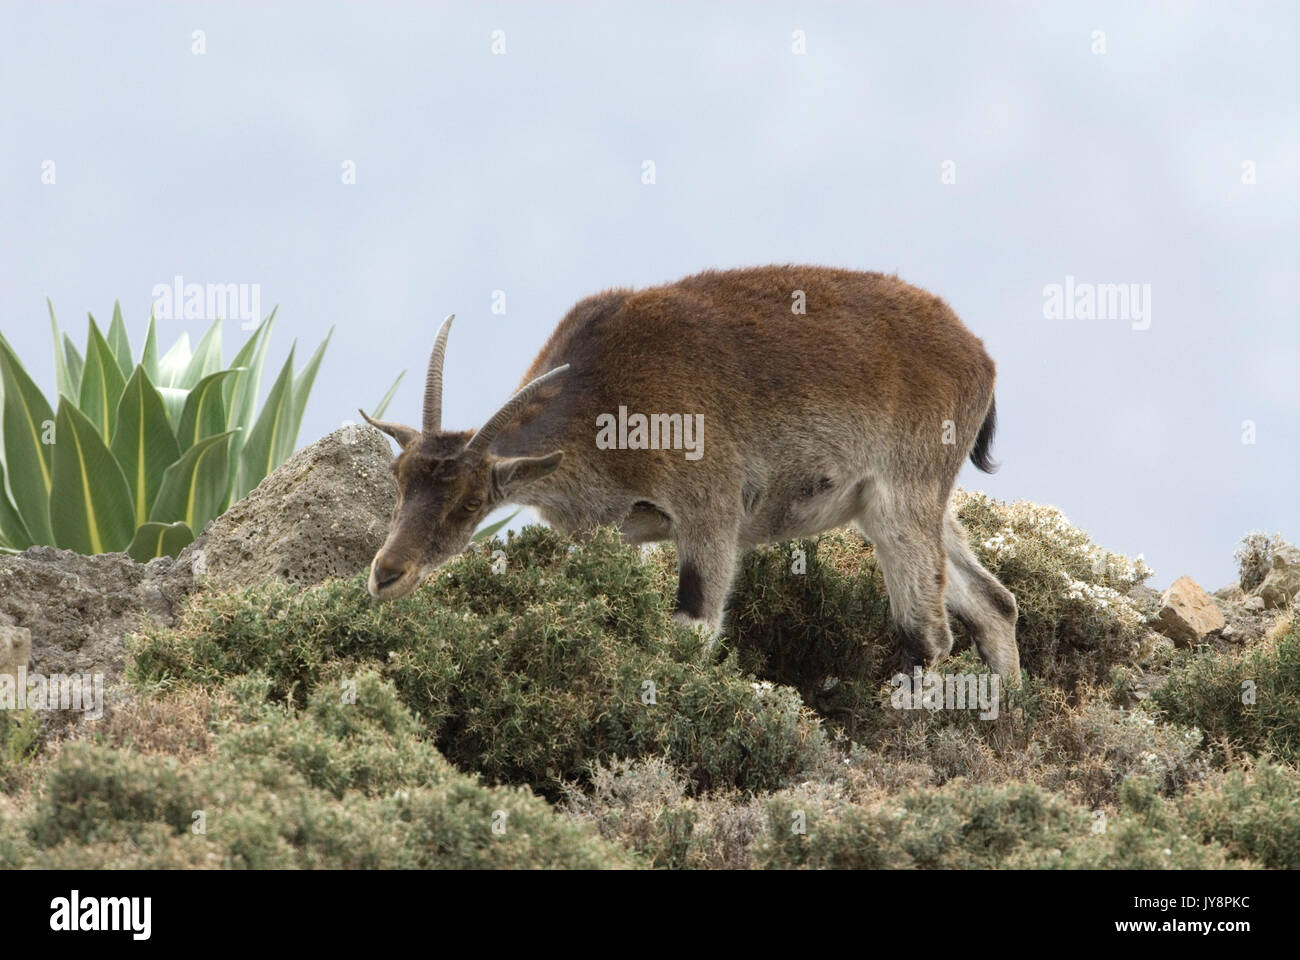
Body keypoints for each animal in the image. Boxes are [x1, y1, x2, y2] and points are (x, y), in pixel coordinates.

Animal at [359, 266, 1020, 677]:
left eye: (471, 501)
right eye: (399, 477)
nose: (387, 574)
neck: (606, 399)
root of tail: (981, 360)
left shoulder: (710, 508)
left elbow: (693, 626)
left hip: (902, 498)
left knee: (927, 634)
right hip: (912, 504)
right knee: (995, 603)